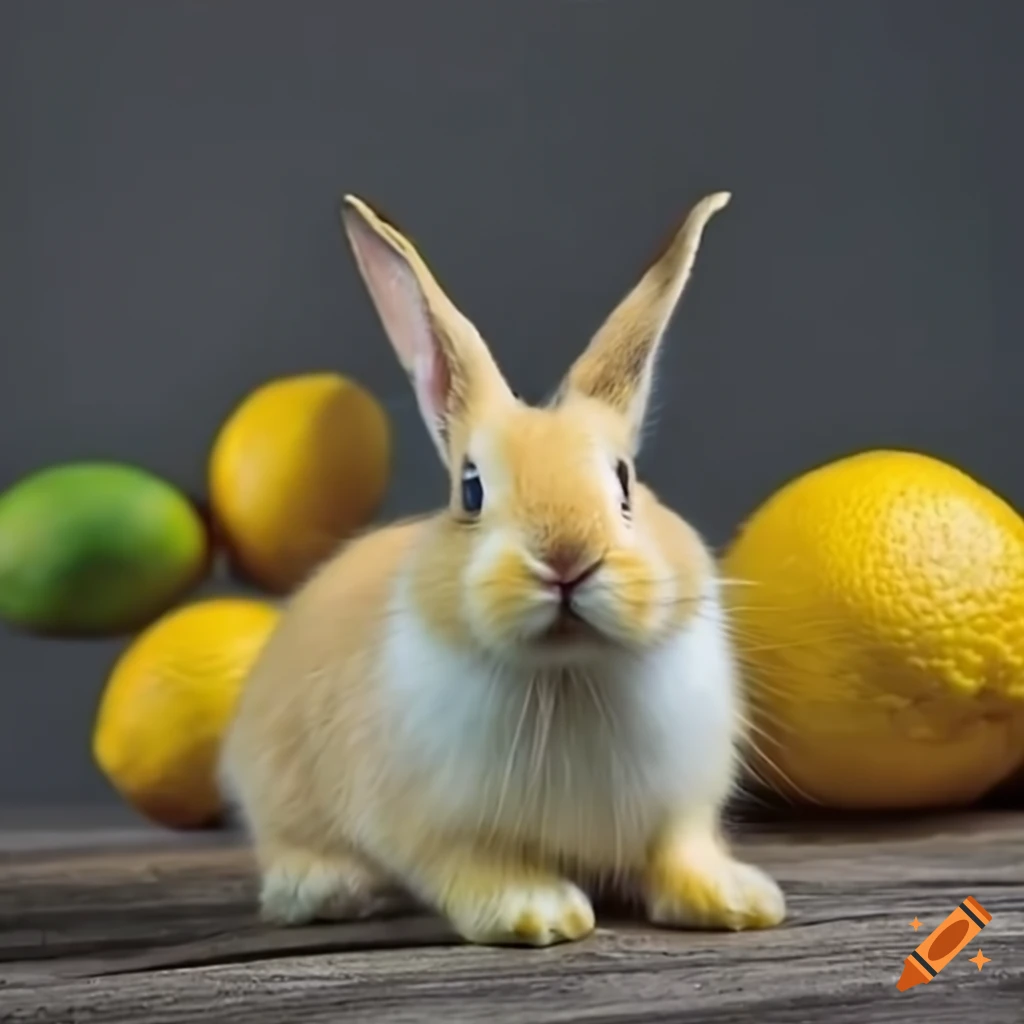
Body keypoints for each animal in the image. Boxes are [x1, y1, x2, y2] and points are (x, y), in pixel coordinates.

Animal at [218, 189, 786, 947]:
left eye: (625, 480)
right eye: (471, 488)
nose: (568, 560)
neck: (569, 674)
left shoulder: (679, 809)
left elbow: (680, 851)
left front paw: (740, 901)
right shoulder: (428, 826)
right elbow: (470, 865)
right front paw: (539, 913)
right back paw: (324, 888)